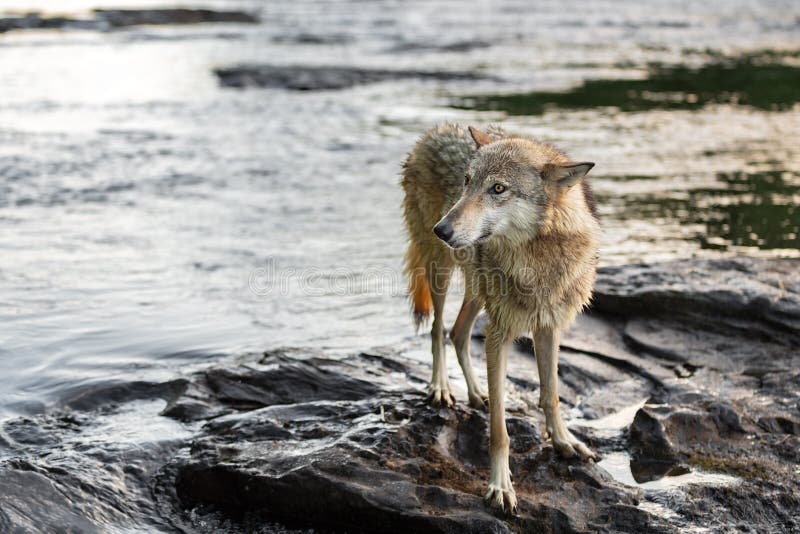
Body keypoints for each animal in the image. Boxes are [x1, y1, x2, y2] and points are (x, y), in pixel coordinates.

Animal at [401, 123, 600, 513]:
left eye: (497, 189)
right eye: (467, 181)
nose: (441, 229)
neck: (538, 258)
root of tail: (434, 129)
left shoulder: (548, 327)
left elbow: (551, 394)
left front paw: (563, 442)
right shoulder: (499, 334)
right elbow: (499, 431)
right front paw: (500, 486)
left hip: (478, 291)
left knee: (459, 333)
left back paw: (478, 393)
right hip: (441, 272)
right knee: (438, 330)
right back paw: (441, 388)